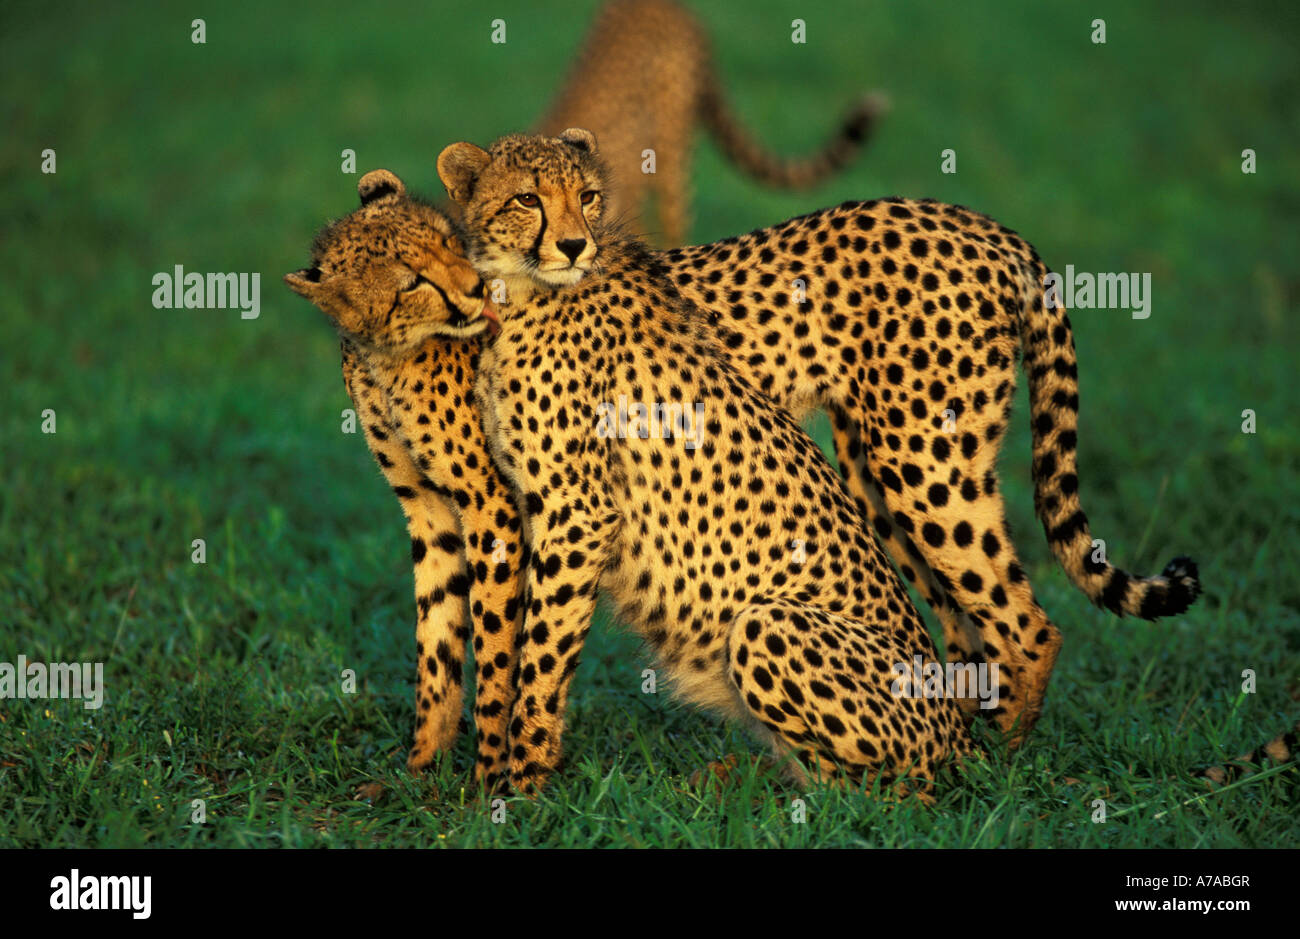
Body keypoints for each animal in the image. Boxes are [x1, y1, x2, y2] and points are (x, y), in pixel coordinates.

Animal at [436, 128, 1203, 747]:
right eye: (527, 200)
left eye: (588, 196)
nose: (574, 246)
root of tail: (983, 225)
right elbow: (450, 636)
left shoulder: (540, 508)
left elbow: (515, 649)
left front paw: (503, 778)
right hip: (871, 475)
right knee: (955, 625)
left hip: (924, 462)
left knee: (1025, 623)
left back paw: (996, 763)